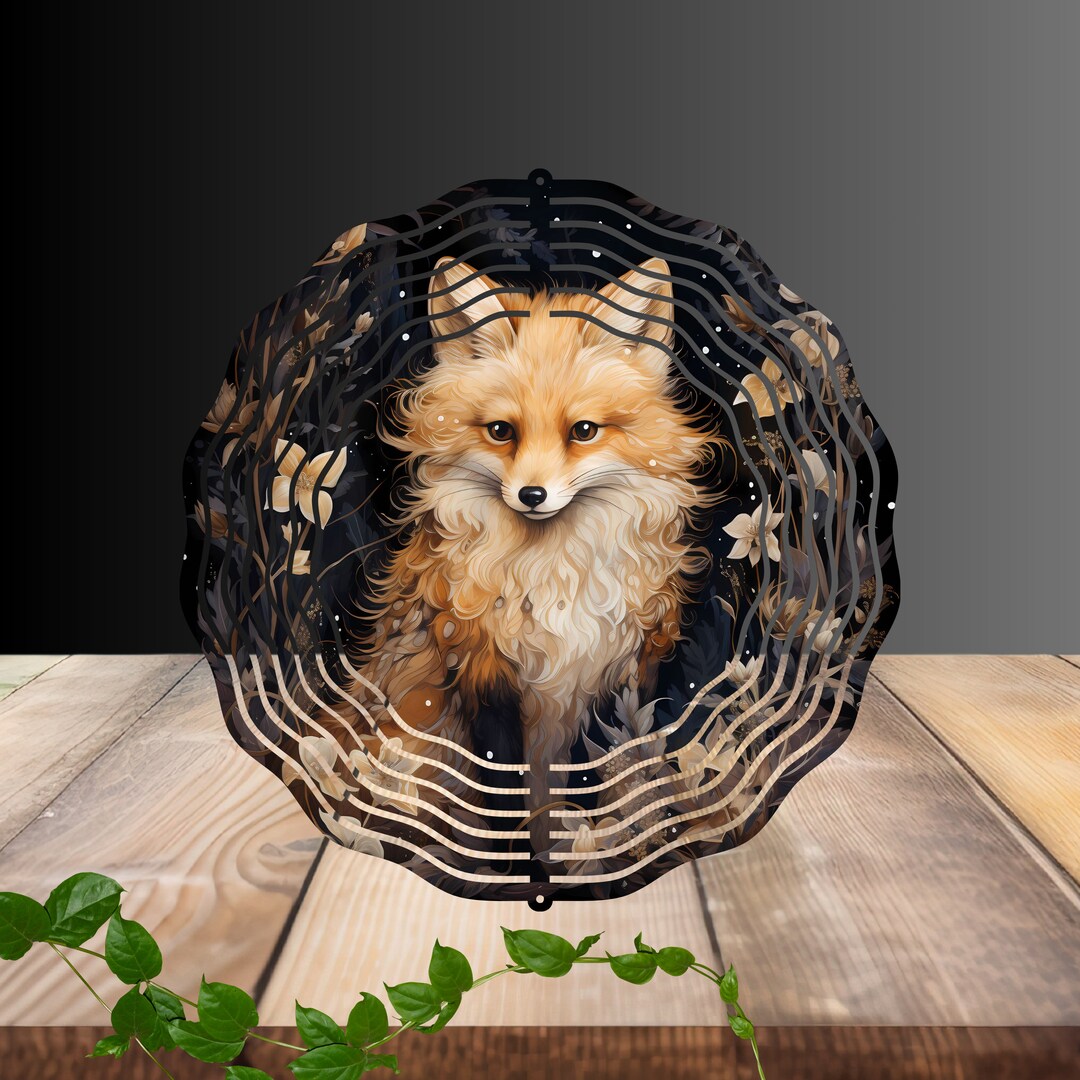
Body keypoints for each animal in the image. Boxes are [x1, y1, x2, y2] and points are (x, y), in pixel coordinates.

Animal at [337, 255, 723, 859]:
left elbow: (588, 782)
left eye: (583, 431)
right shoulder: (483, 684)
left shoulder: (610, 684)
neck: (552, 575)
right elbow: (506, 797)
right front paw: (518, 864)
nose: (532, 495)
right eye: (501, 431)